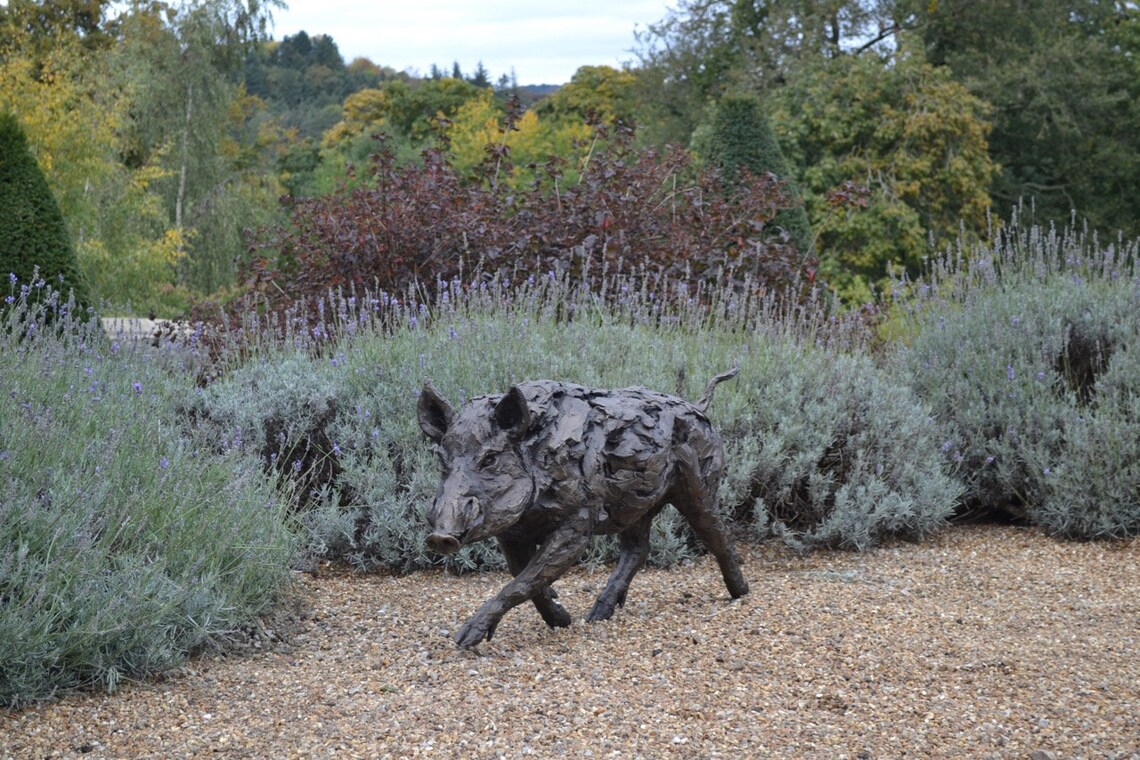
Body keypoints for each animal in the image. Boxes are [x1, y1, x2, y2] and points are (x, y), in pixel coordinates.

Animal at [417, 369, 749, 648]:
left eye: (490, 459)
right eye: (442, 459)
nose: (440, 538)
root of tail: (699, 408)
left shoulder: (578, 522)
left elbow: (525, 580)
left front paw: (464, 640)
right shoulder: (511, 532)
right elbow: (523, 574)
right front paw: (562, 620)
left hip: (699, 486)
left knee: (717, 533)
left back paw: (740, 593)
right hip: (633, 504)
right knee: (638, 549)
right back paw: (596, 616)